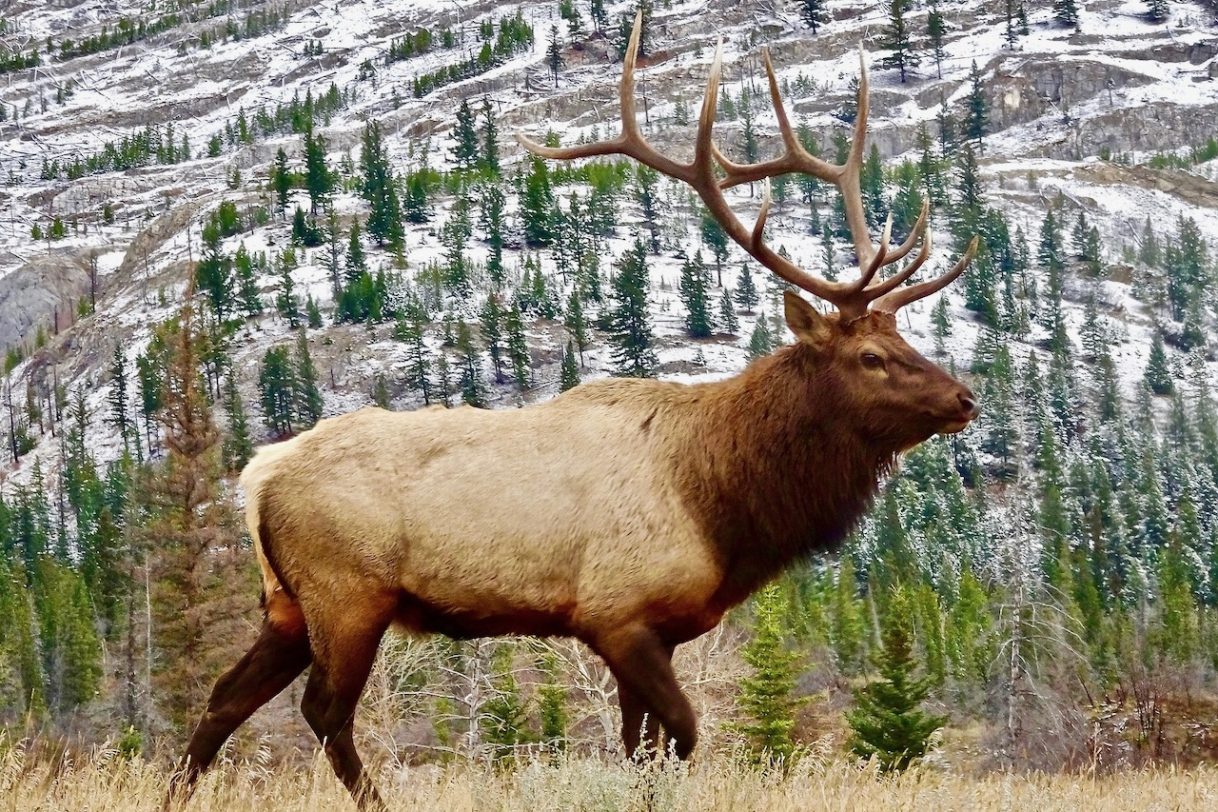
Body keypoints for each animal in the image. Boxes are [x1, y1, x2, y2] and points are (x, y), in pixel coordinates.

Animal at [166, 14, 978, 812]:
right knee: (323, 711)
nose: (964, 397)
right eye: (869, 357)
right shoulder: (615, 613)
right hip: (348, 592)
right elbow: (681, 735)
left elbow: (642, 746)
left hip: (286, 605)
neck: (721, 503)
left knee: (224, 699)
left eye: (904, 337)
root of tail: (257, 476)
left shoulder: (661, 630)